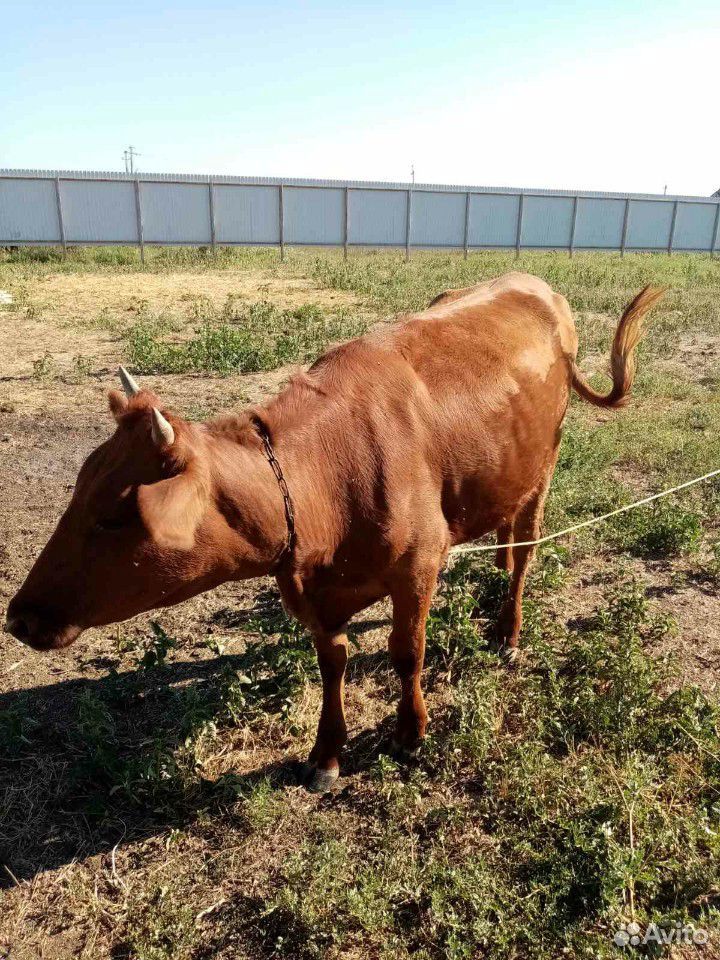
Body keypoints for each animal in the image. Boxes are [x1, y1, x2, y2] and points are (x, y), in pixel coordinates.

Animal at [5, 273, 664, 790]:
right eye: (79, 487)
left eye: (115, 515)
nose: (19, 617)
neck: (325, 478)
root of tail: (538, 286)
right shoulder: (313, 596)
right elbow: (333, 664)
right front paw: (325, 754)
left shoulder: (417, 566)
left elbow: (406, 652)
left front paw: (410, 733)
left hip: (543, 467)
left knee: (527, 552)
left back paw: (507, 629)